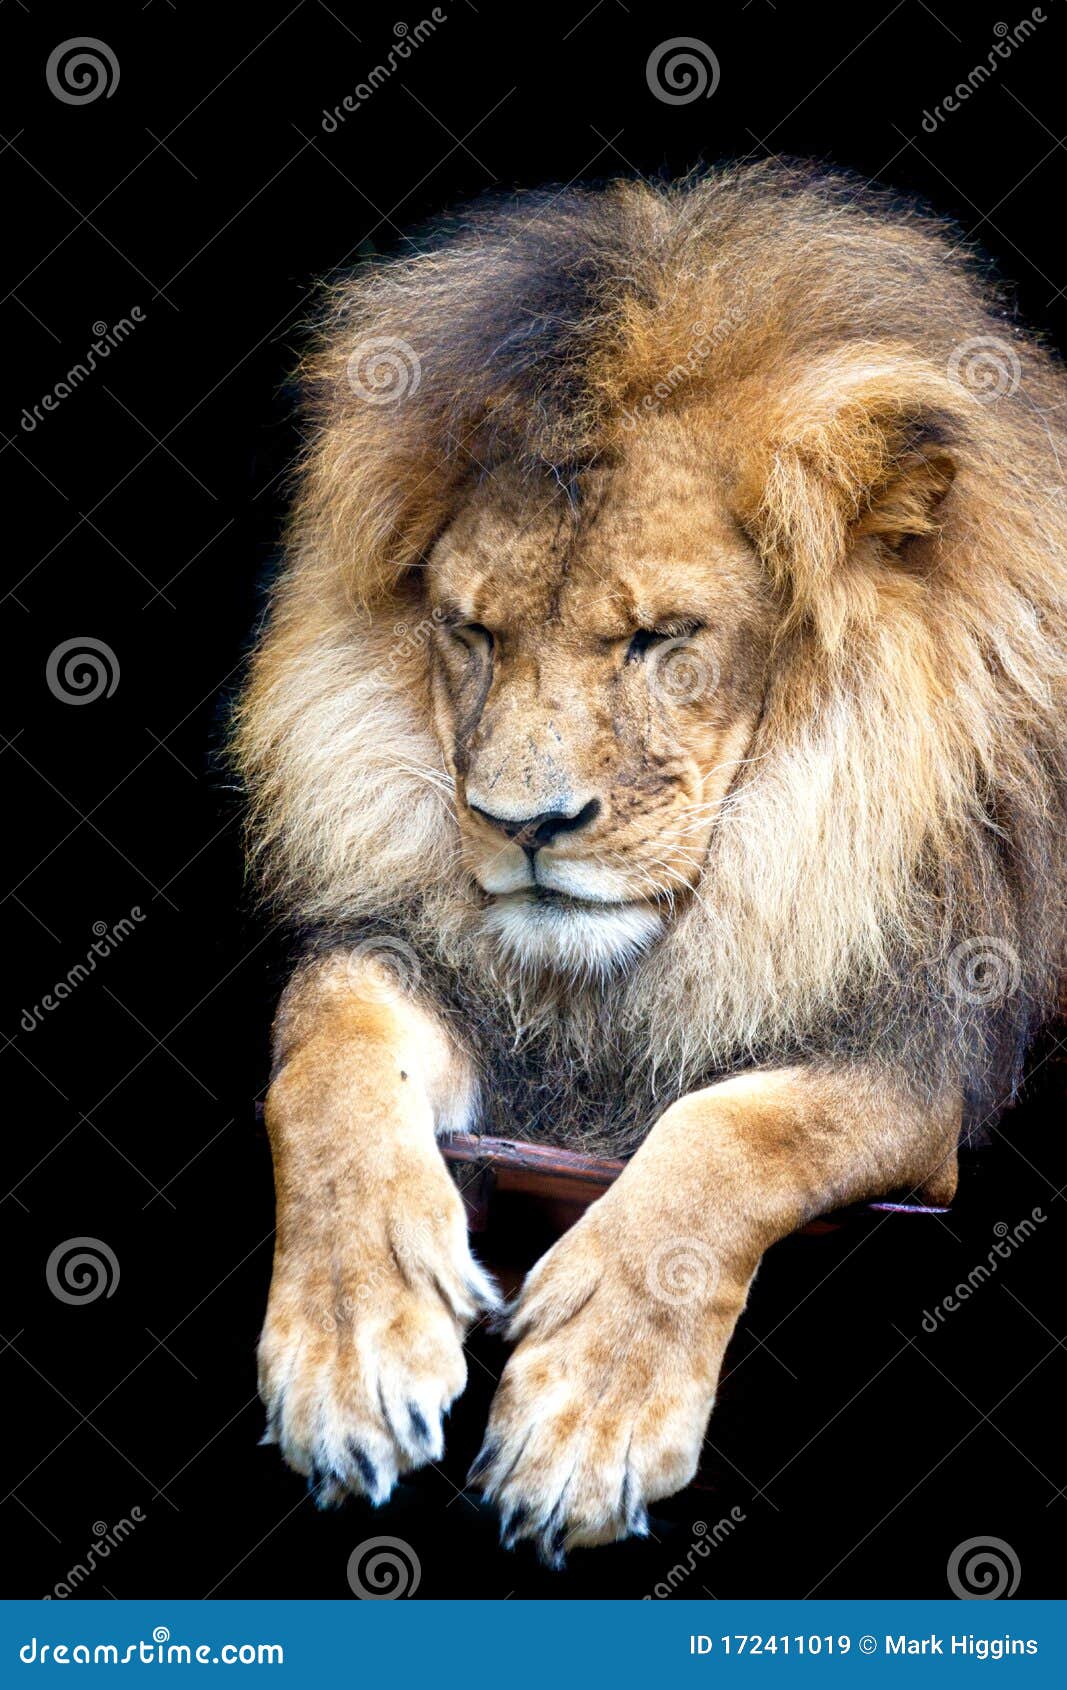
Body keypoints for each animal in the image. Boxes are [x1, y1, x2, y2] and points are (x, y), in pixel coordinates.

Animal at [234, 161, 1067, 1564]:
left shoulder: (922, 1051)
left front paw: (588, 1414)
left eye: (659, 638)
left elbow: (740, 1128)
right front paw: (349, 1348)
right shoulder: (428, 976)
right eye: (468, 630)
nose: (522, 823)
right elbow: (325, 1050)